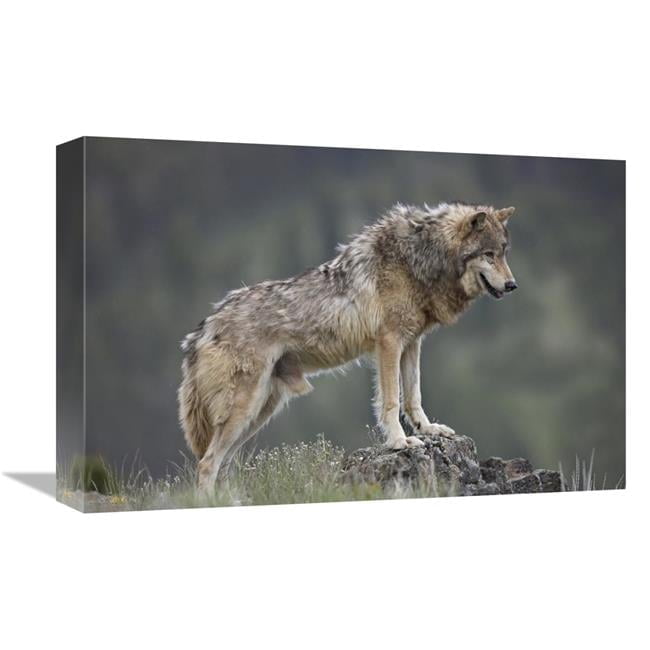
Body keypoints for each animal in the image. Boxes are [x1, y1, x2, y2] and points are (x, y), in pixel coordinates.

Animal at [179, 202, 517, 491]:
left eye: (504, 252)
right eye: (488, 254)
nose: (512, 285)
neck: (418, 259)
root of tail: (204, 327)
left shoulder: (412, 343)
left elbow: (413, 396)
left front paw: (428, 430)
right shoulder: (389, 342)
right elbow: (391, 401)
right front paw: (399, 441)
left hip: (259, 412)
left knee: (223, 464)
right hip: (244, 409)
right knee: (207, 463)